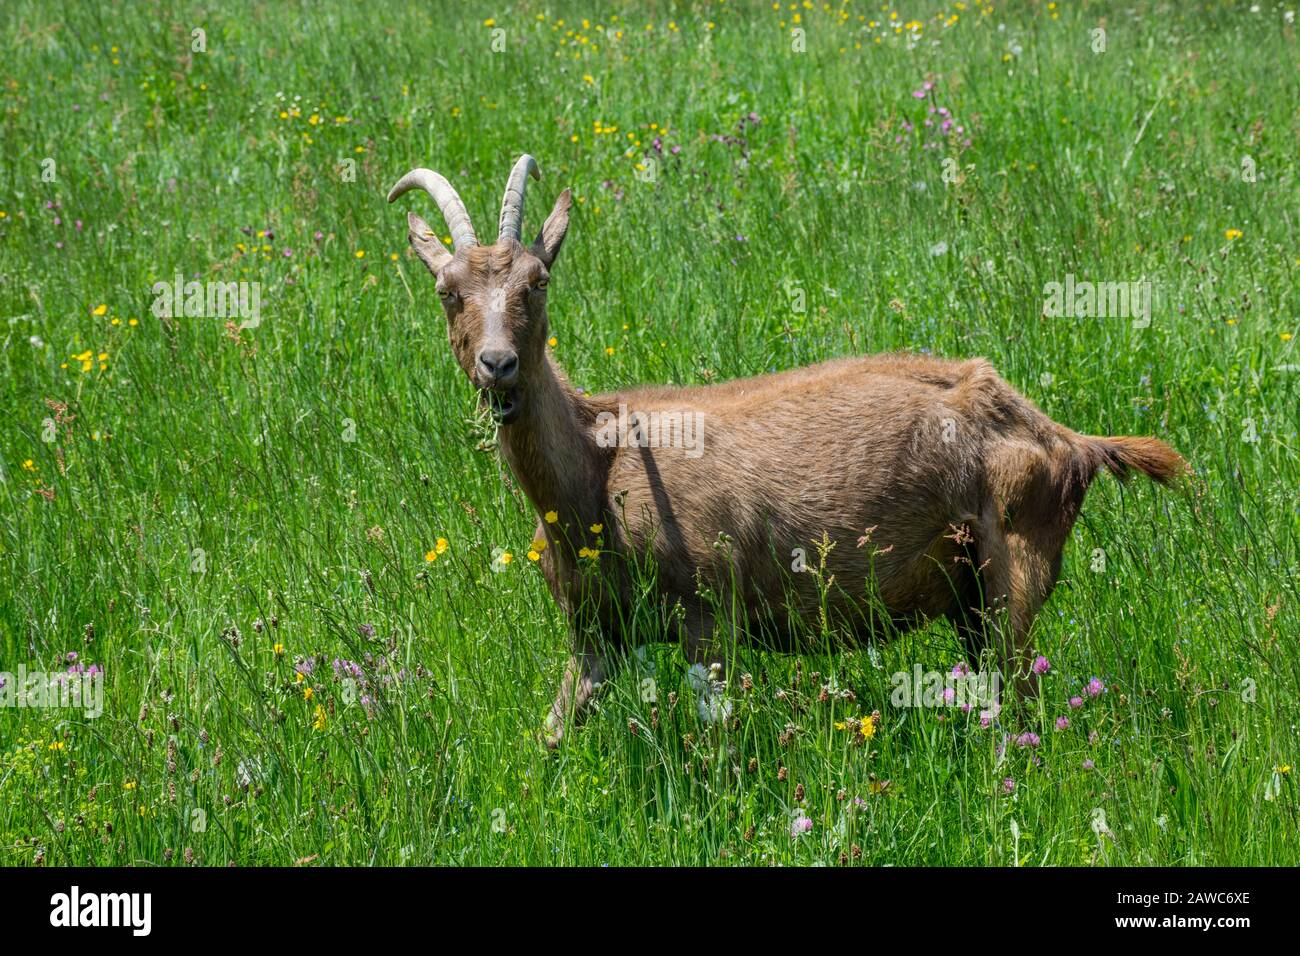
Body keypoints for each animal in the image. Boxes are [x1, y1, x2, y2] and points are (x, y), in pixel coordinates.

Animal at [388, 155, 1188, 748]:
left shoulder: (710, 617)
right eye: (447, 290)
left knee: (1019, 705)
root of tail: (1065, 439)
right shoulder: (594, 634)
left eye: (539, 281)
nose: (497, 365)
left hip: (1014, 566)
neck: (597, 463)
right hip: (968, 595)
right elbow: (553, 735)